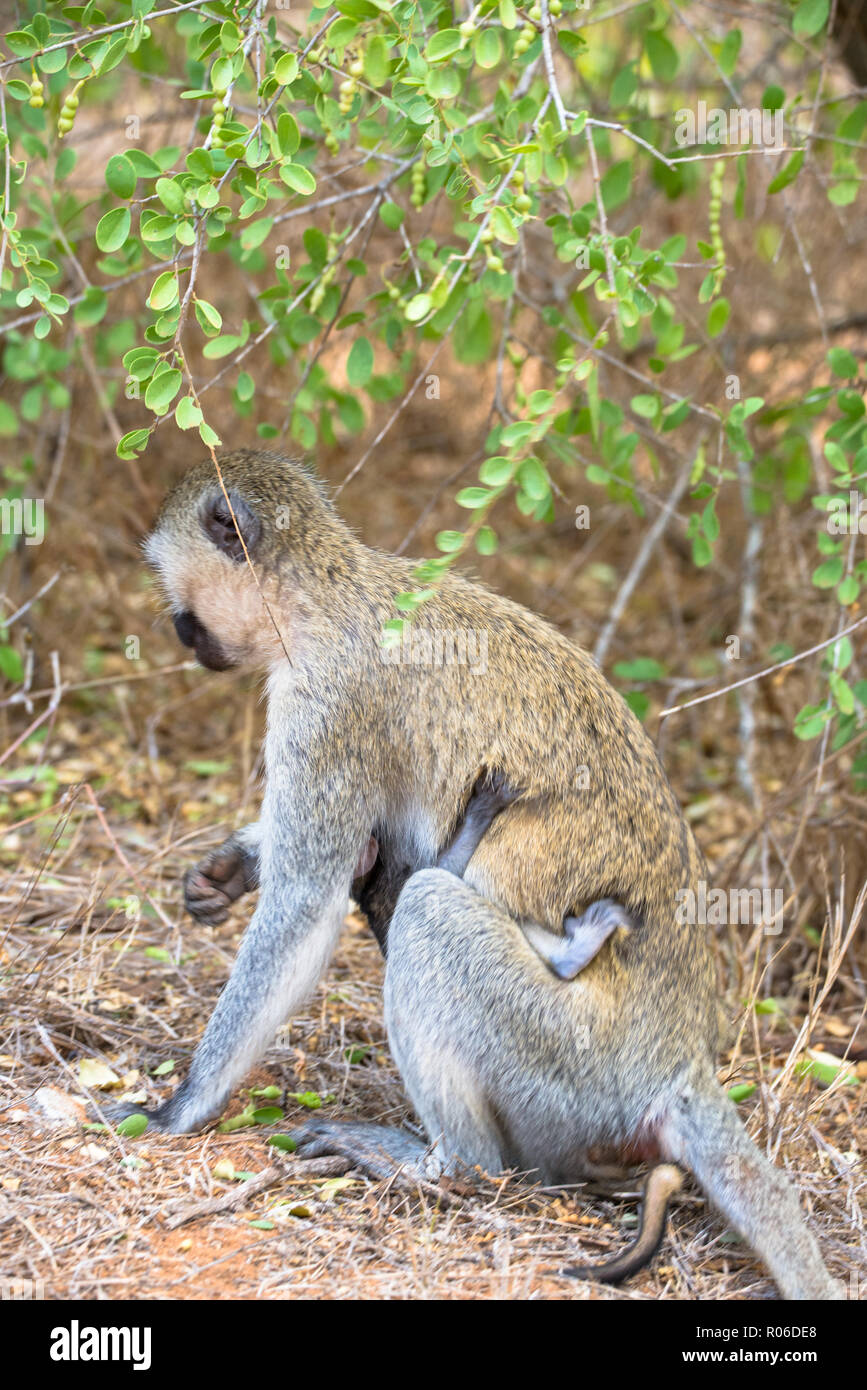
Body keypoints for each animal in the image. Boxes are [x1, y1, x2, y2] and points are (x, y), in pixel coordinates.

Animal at [122, 448, 843, 1299]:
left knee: (429, 910)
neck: (326, 593)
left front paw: (179, 1107)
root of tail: (674, 1061)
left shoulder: (324, 705)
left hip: (571, 1064)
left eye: (175, 590)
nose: (178, 629)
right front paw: (231, 866)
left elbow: (304, 906)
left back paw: (444, 1164)